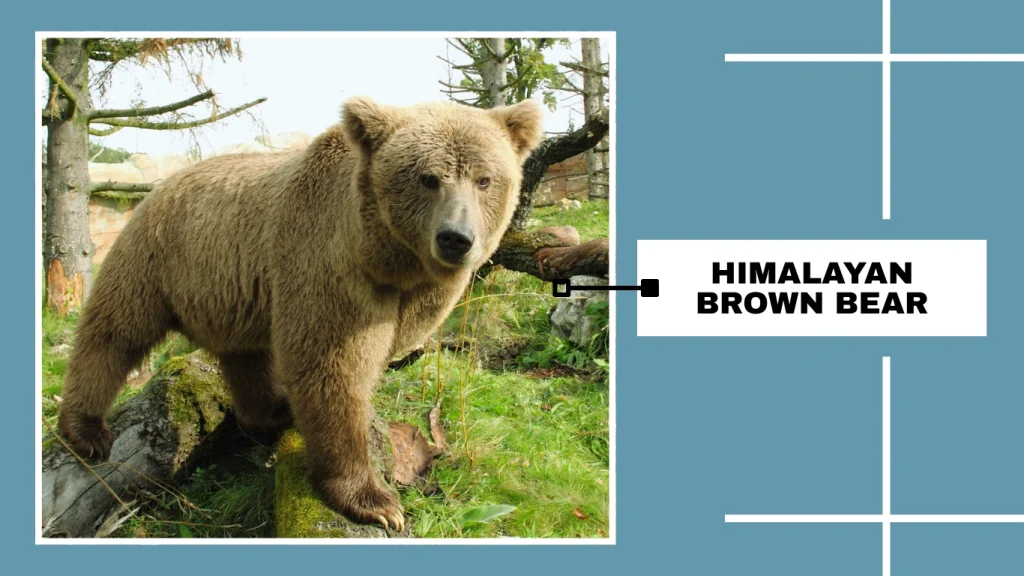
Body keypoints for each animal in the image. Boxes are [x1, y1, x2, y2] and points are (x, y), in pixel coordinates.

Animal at [57, 96, 545, 532]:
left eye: (484, 179)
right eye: (428, 178)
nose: (455, 238)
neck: (387, 259)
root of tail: (163, 182)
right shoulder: (329, 264)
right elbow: (331, 368)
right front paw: (375, 501)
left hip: (230, 293)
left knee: (245, 356)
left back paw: (270, 411)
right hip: (158, 256)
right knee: (115, 331)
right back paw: (86, 430)